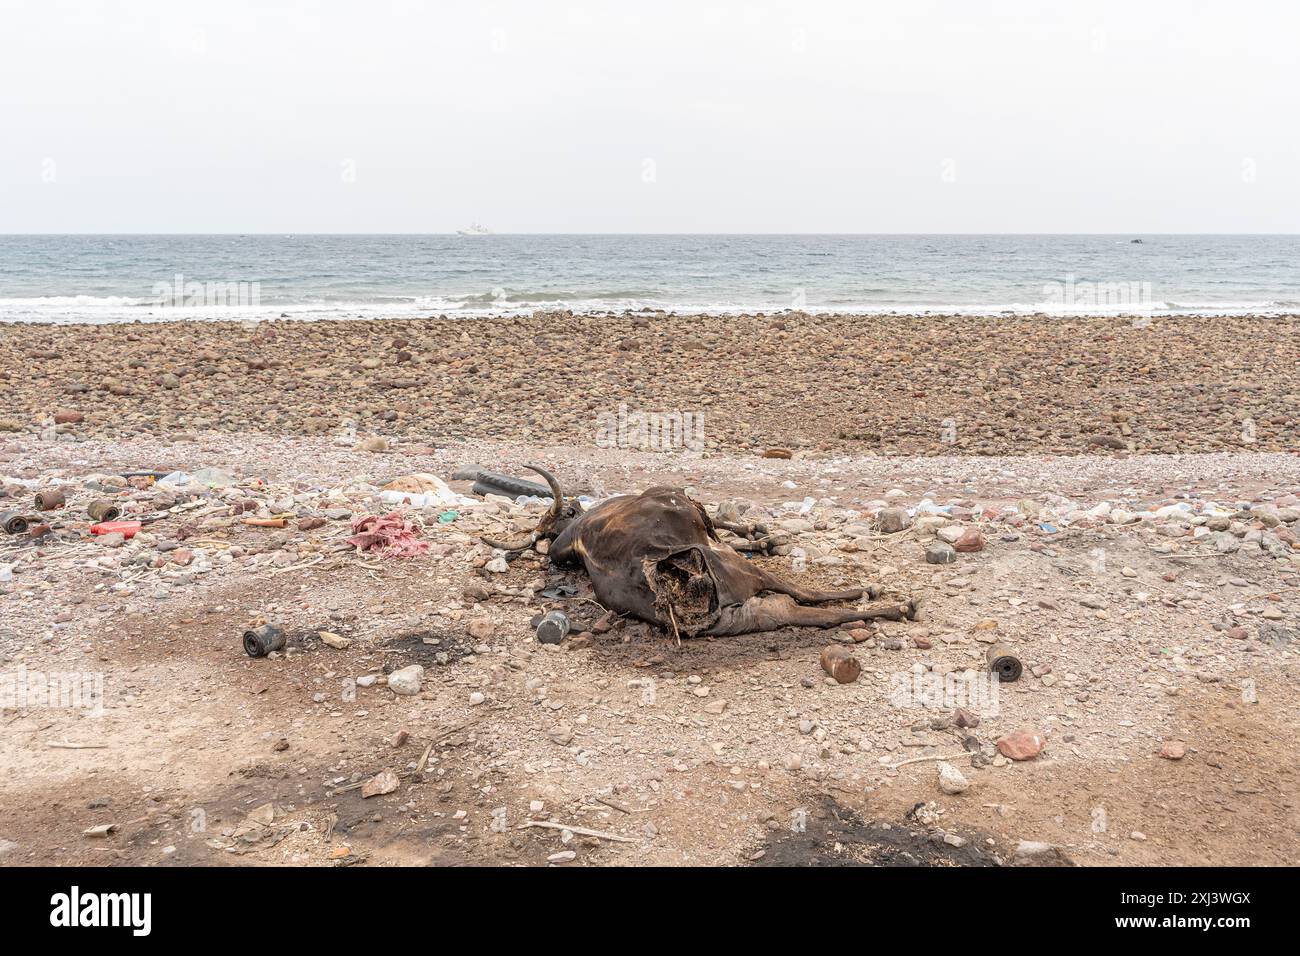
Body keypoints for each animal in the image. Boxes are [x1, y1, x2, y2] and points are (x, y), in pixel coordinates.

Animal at [481, 466, 918, 638]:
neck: (574, 533)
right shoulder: (689, 508)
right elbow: (721, 526)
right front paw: (763, 536)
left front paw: (762, 535)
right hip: (744, 575)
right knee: (805, 594)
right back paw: (889, 601)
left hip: (756, 615)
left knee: (805, 611)